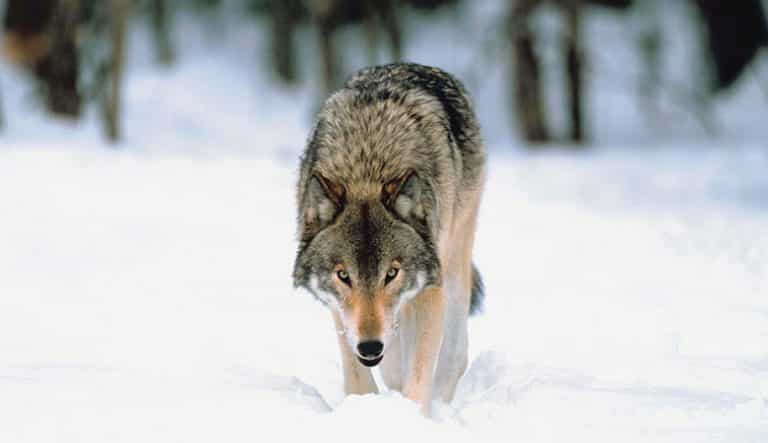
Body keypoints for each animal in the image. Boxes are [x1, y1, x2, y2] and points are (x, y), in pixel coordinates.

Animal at [293, 62, 485, 415]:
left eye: (392, 273)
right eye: (344, 276)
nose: (370, 347)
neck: (367, 166)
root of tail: (411, 65)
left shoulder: (430, 288)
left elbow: (418, 377)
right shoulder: (340, 311)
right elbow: (358, 379)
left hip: (455, 258)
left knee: (454, 353)